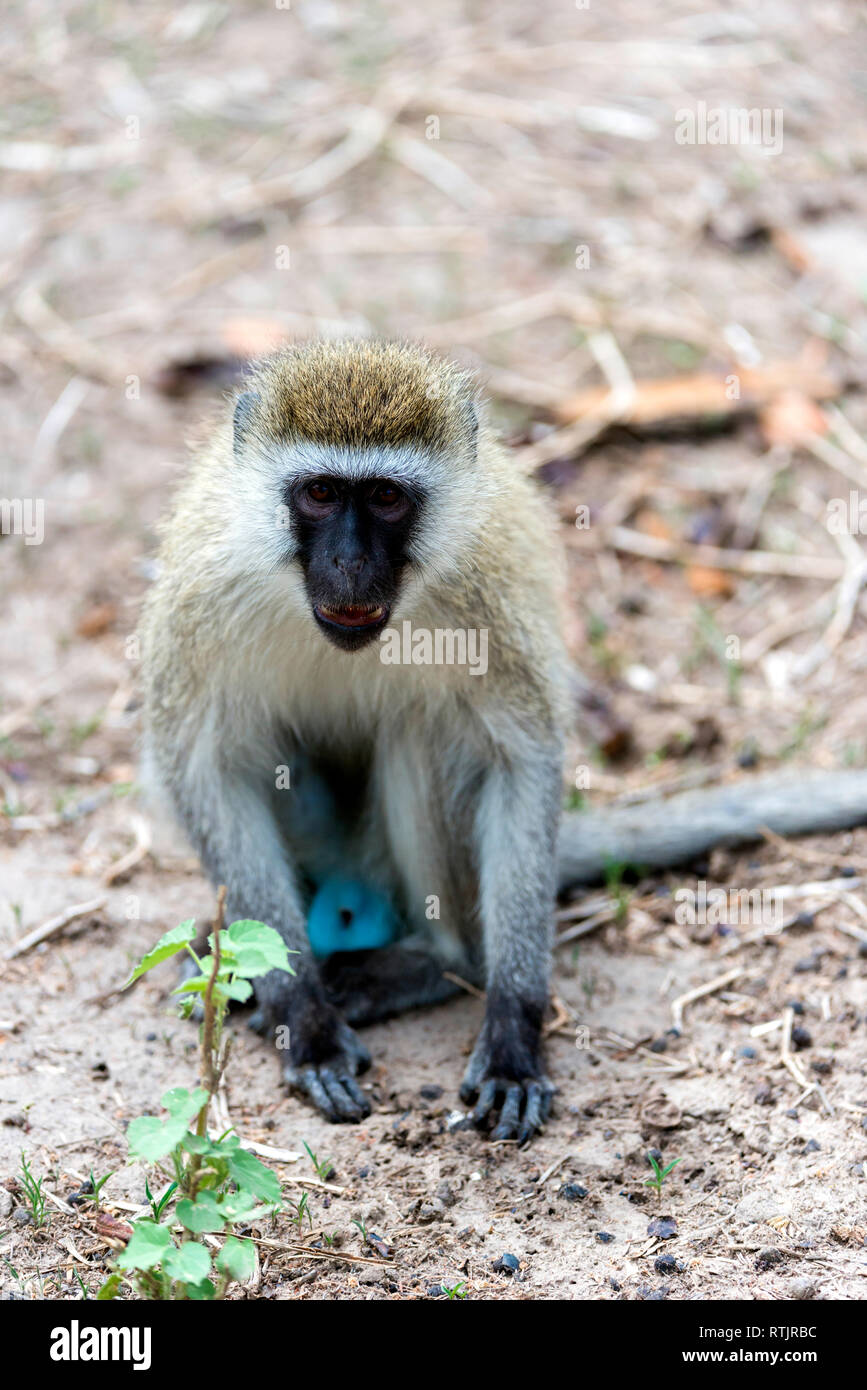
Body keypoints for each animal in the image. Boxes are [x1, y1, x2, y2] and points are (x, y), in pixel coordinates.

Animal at [141, 338, 867, 1143]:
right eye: (322, 494)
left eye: (386, 498)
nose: (348, 563)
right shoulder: (205, 593)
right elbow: (205, 767)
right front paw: (303, 1016)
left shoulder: (483, 596)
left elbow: (523, 760)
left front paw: (516, 1030)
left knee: (421, 733)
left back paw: (429, 961)